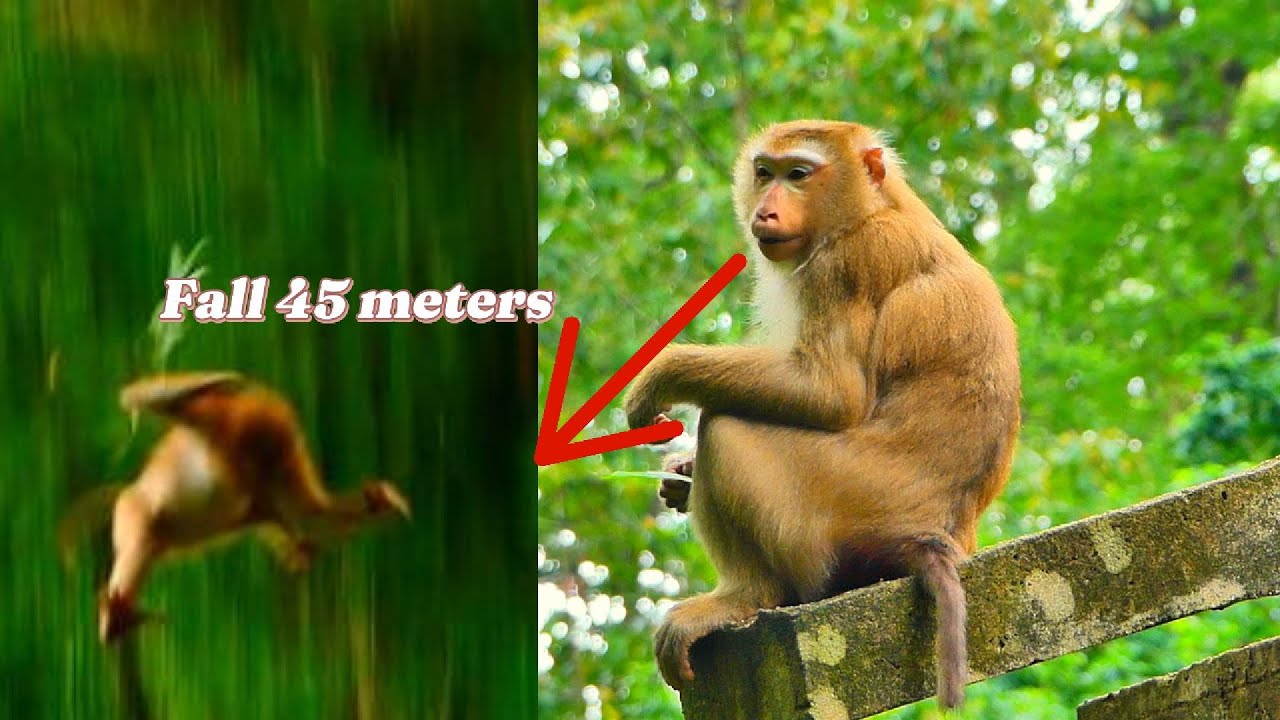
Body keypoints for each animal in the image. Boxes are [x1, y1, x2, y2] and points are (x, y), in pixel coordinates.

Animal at [59, 372, 411, 644]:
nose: (398, 507)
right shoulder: (244, 440)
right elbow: (148, 398)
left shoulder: (271, 488)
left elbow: (310, 527)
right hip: (134, 508)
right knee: (145, 534)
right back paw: (115, 614)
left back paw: (118, 616)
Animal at [624, 120, 1020, 710]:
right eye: (765, 172)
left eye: (798, 174)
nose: (765, 211)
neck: (873, 208)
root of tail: (938, 536)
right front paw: (679, 476)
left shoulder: (849, 263)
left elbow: (831, 393)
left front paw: (662, 373)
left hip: (846, 510)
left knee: (726, 427)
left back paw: (746, 596)